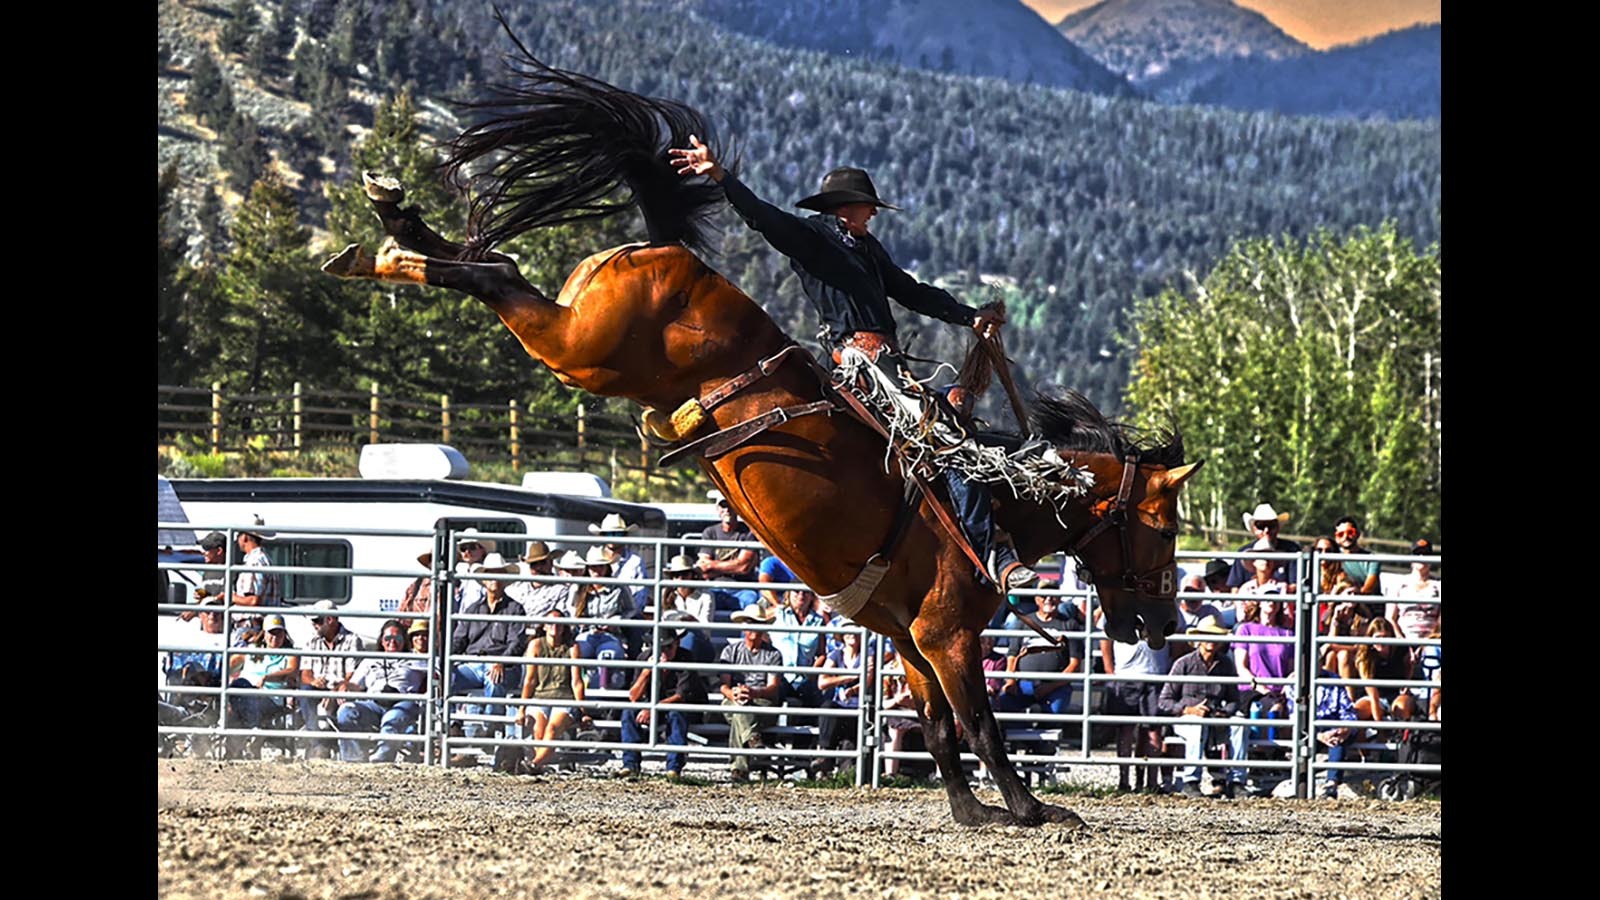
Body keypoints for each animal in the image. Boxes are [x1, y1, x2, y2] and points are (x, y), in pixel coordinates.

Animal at [323, 43, 1200, 827]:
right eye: (1163, 528)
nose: (1163, 626)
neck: (996, 493)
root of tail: (666, 247)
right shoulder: (947, 634)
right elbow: (980, 726)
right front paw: (1031, 810)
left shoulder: (910, 639)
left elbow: (939, 731)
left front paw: (971, 813)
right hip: (583, 349)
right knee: (495, 274)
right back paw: (385, 242)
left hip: (578, 342)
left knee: (494, 262)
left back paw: (386, 230)